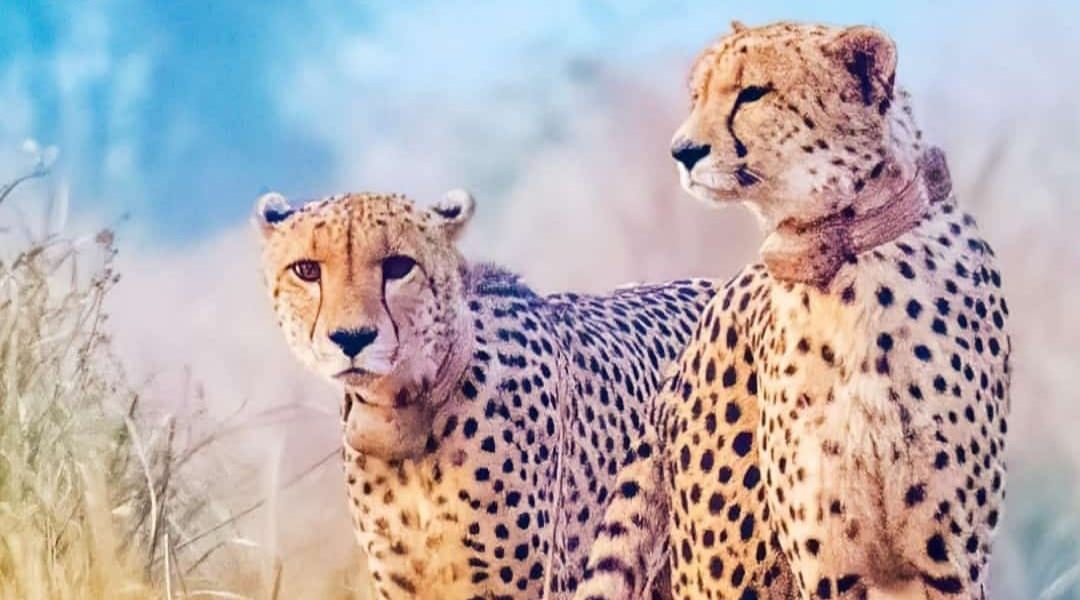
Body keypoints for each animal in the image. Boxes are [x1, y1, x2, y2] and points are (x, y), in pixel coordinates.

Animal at [576, 20, 1011, 600]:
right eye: (698, 96)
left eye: (753, 92)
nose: (682, 151)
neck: (846, 260)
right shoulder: (827, 567)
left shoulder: (950, 561)